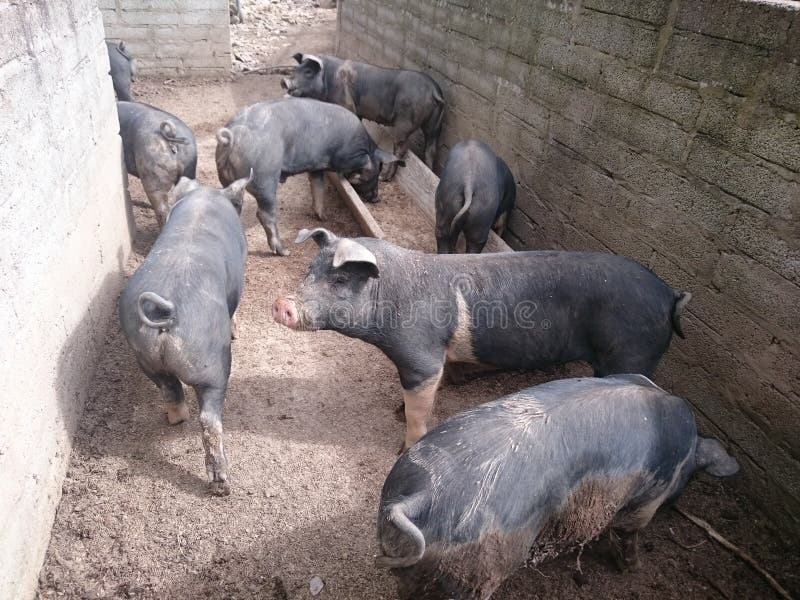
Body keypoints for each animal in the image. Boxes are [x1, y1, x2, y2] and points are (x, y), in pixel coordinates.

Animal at [118, 175, 250, 496]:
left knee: (169, 390)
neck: (205, 196)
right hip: (213, 365)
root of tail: (167, 311)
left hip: (145, 357)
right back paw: (221, 486)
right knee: (210, 421)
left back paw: (176, 420)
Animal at [215, 97, 402, 256]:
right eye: (375, 173)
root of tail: (233, 137)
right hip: (265, 178)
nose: (377, 199)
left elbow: (318, 187)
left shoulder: (316, 166)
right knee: (265, 215)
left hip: (229, 181)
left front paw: (324, 217)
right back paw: (284, 251)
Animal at [272, 229, 692, 450]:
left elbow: (420, 409)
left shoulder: (420, 356)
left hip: (633, 351)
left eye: (341, 279)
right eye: (309, 270)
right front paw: (395, 410)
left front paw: (405, 445)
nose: (280, 304)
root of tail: (670, 296)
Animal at [282, 53, 444, 180]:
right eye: (296, 69)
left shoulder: (346, 104)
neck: (329, 79)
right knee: (431, 149)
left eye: (308, 72)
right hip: (434, 124)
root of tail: (434, 91)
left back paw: (384, 177)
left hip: (405, 121)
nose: (284, 81)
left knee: (401, 148)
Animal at [376, 374, 739, 599]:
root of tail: (420, 498)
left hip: (398, 548)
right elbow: (629, 531)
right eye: (689, 478)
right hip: (477, 570)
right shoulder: (646, 501)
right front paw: (631, 569)